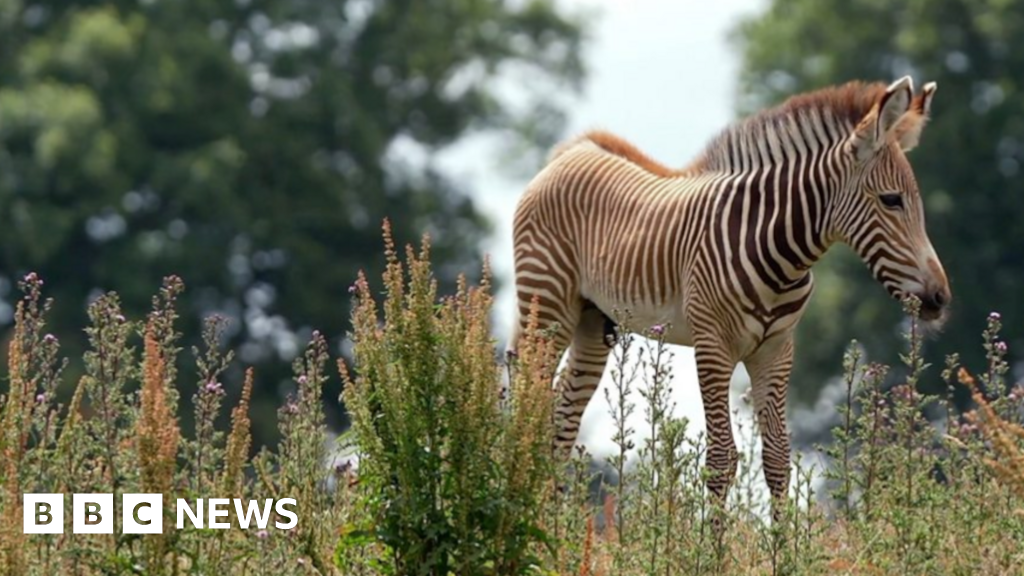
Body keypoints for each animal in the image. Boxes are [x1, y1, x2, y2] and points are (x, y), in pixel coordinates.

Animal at [506, 77, 951, 511]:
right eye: (892, 201)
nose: (940, 298)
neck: (778, 253)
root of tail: (571, 153)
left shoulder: (776, 349)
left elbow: (777, 457)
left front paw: (784, 539)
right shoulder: (713, 345)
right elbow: (721, 458)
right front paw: (709, 539)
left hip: (594, 320)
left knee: (561, 422)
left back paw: (551, 525)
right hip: (547, 305)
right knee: (527, 397)